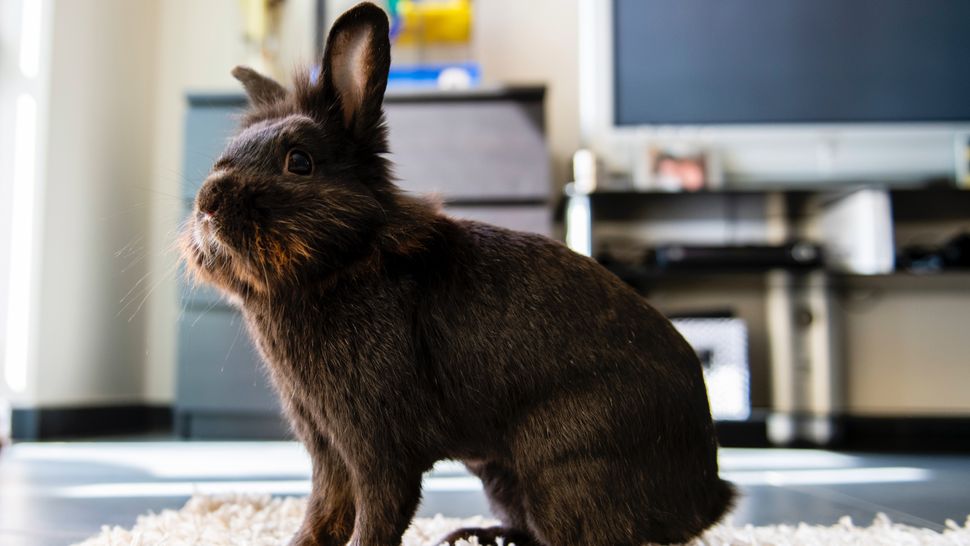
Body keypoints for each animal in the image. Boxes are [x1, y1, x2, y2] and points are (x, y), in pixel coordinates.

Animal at [180, 3, 735, 545]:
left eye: (299, 161)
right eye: (225, 155)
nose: (207, 202)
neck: (346, 262)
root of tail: (706, 494)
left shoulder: (377, 447)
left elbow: (376, 514)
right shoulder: (326, 447)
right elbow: (323, 512)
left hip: (563, 471)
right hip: (500, 475)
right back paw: (474, 535)